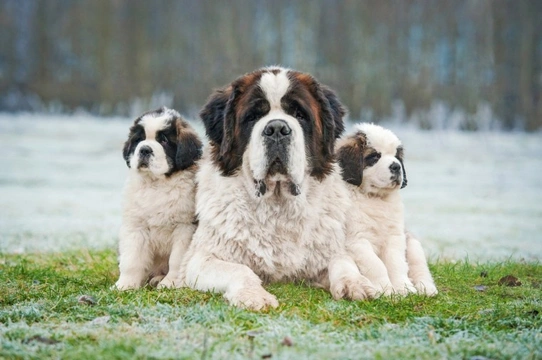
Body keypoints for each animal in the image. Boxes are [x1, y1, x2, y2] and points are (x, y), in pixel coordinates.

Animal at [113, 106, 203, 290]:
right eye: (139, 140)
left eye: (164, 140)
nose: (145, 149)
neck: (157, 185)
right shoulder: (136, 226)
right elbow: (131, 259)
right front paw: (125, 284)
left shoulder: (185, 228)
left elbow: (177, 259)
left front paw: (171, 283)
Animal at [181, 67, 376, 310]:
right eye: (253, 117)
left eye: (300, 115)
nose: (276, 128)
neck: (278, 204)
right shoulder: (200, 260)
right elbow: (239, 269)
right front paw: (254, 295)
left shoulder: (324, 252)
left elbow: (342, 261)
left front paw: (356, 283)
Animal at [338, 122, 440, 296]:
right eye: (374, 157)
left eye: (396, 157)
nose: (396, 167)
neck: (375, 198)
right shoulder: (357, 240)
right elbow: (376, 265)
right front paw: (386, 289)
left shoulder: (395, 236)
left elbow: (396, 263)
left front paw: (404, 288)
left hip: (412, 244)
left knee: (419, 267)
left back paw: (425, 287)